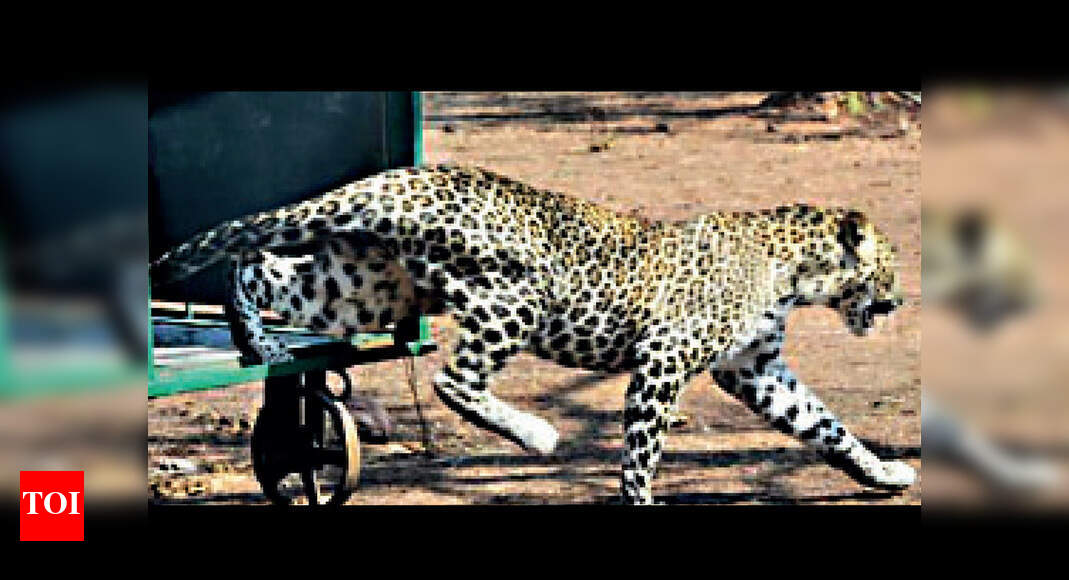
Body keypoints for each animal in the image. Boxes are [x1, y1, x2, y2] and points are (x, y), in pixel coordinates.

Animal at [151, 164, 916, 504]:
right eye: (888, 265)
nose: (900, 300)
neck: (793, 271)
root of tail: (405, 174)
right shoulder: (664, 360)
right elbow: (642, 453)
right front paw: (640, 500)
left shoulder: (755, 368)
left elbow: (827, 426)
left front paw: (882, 473)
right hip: (513, 293)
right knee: (452, 378)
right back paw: (537, 435)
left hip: (363, 285)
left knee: (255, 265)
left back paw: (264, 346)